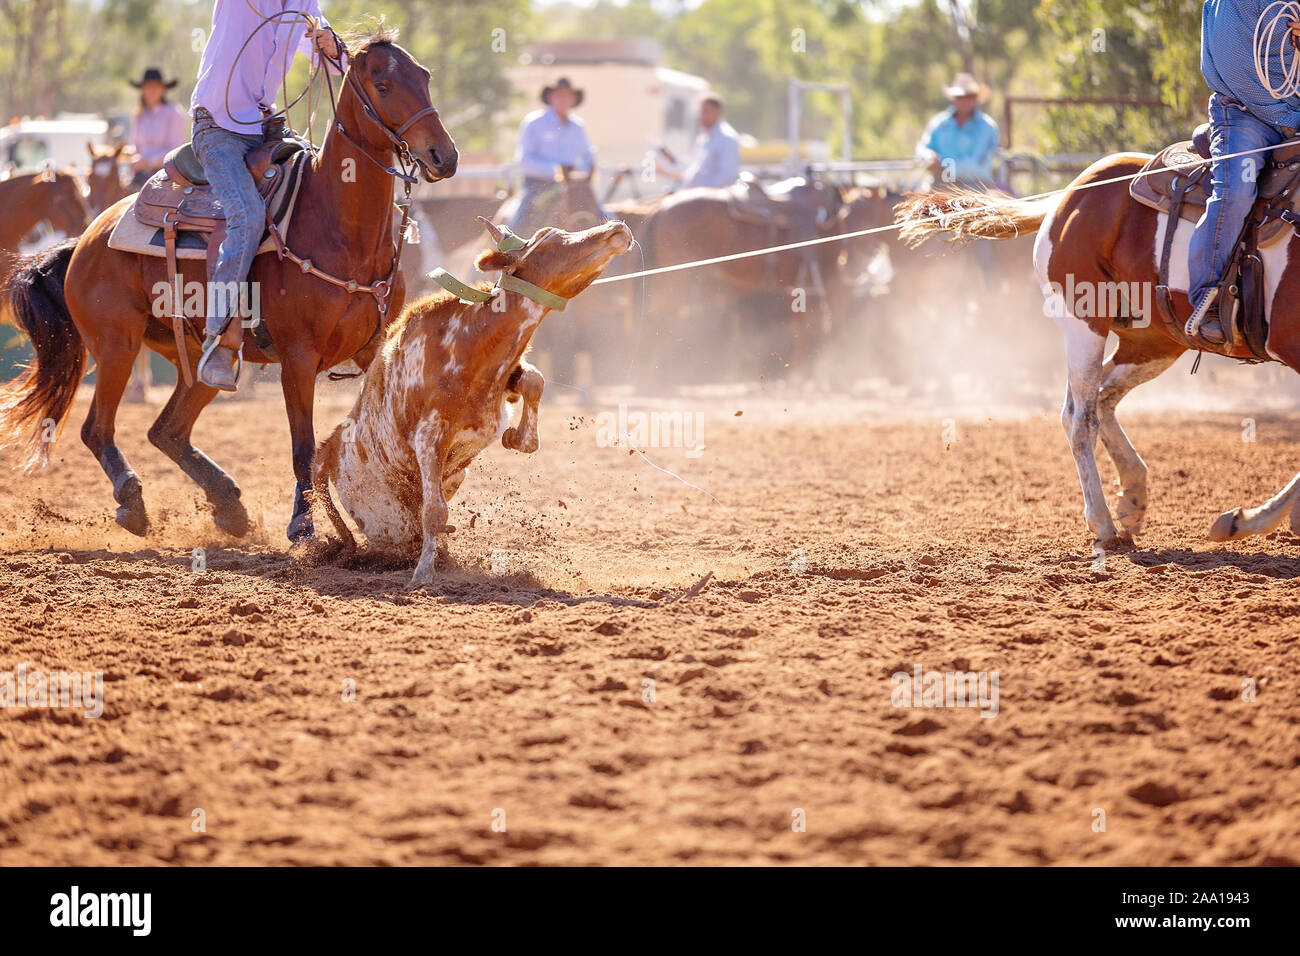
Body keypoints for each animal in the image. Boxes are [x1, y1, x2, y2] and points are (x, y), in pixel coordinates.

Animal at [312, 218, 634, 587]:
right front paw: (423, 575)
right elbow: (435, 512)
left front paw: (516, 436)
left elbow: (534, 382)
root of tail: (326, 454)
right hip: (386, 519)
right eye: (549, 237)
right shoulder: (429, 435)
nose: (617, 228)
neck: (470, 341)